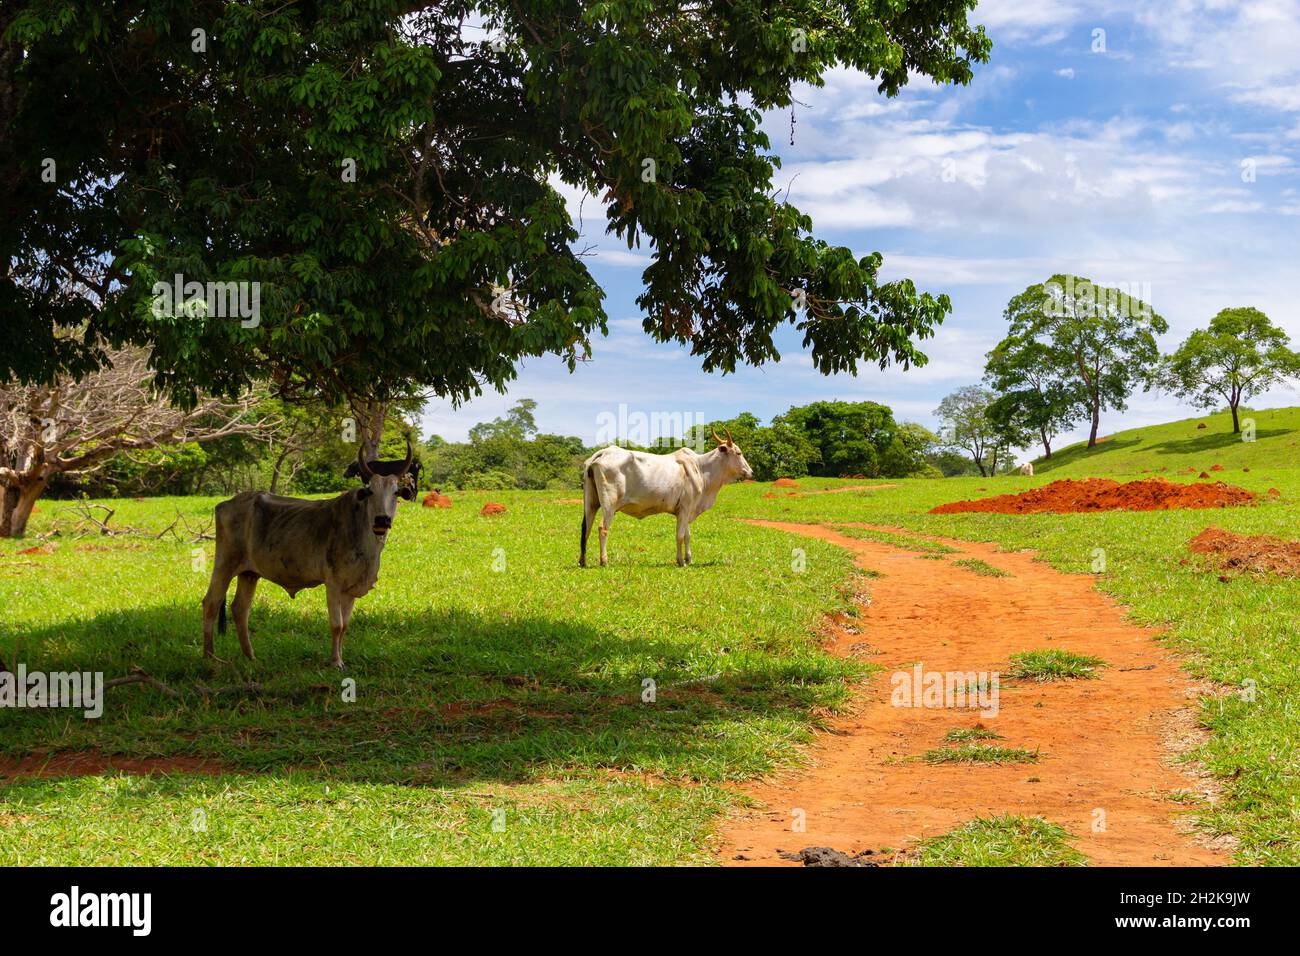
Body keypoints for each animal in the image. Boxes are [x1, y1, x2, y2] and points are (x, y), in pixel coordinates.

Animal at [201, 441, 414, 668]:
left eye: (395, 493)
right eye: (371, 492)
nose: (383, 520)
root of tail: (225, 504)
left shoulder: (351, 588)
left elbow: (345, 626)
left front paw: (340, 659)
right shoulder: (333, 584)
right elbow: (336, 625)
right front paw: (335, 662)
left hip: (249, 574)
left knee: (240, 609)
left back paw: (250, 657)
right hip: (225, 564)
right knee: (211, 603)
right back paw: (210, 657)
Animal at [580, 429, 754, 568]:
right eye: (738, 453)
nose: (750, 472)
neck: (701, 468)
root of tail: (603, 452)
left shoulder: (686, 510)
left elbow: (687, 535)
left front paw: (689, 558)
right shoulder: (685, 508)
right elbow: (680, 535)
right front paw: (681, 561)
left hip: (590, 503)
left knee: (586, 528)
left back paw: (583, 561)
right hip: (609, 505)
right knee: (602, 528)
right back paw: (604, 561)